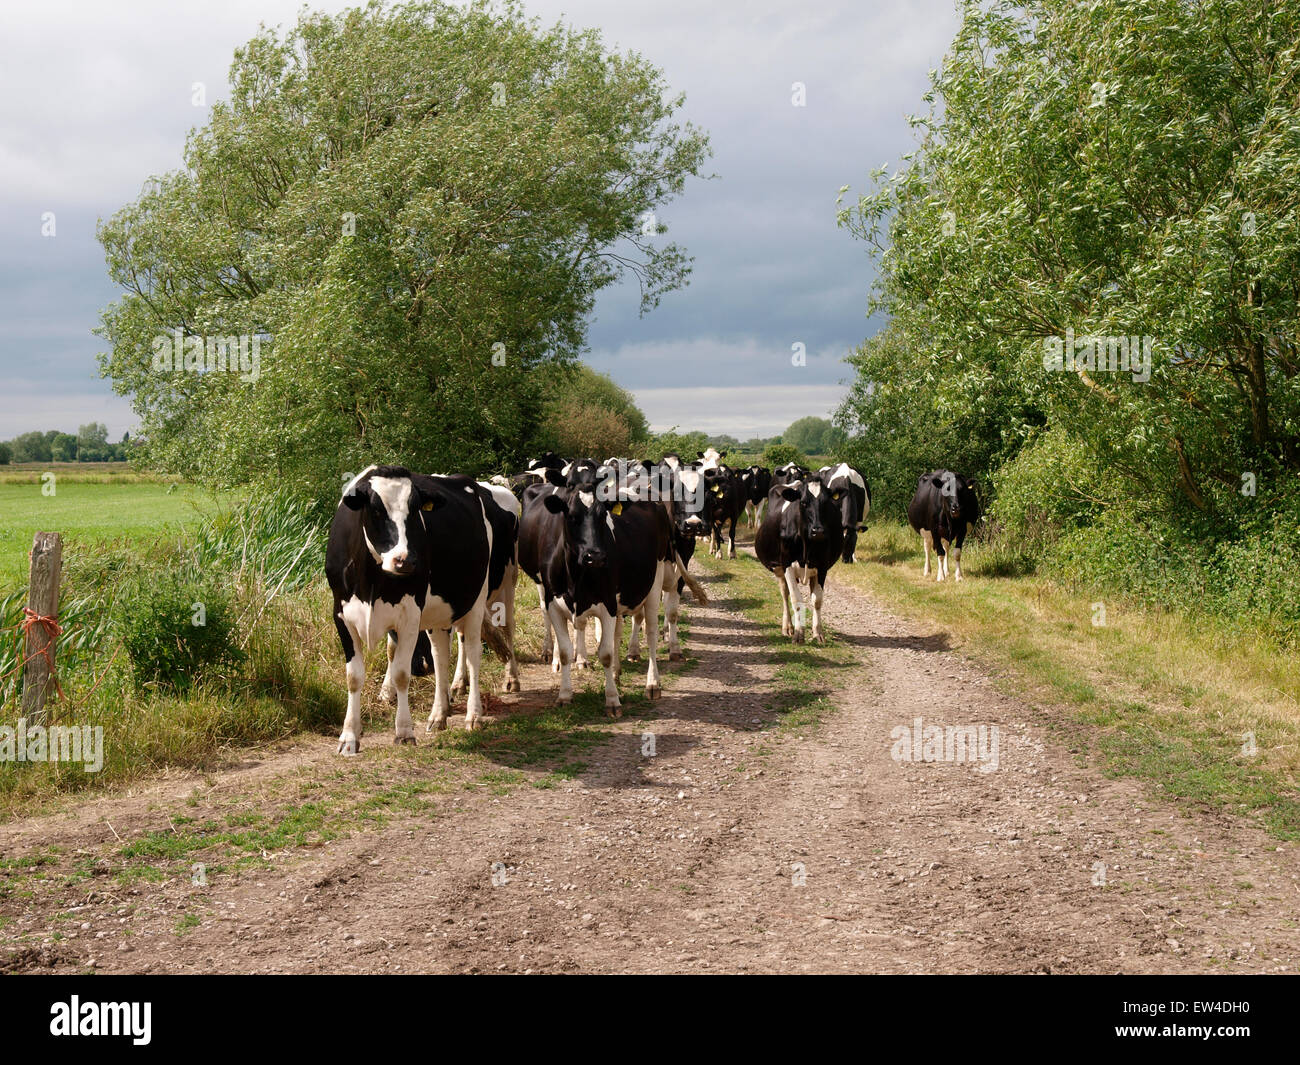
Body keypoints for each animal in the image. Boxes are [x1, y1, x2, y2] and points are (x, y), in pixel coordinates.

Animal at [326, 465, 515, 753]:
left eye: (415, 510)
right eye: (376, 510)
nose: (405, 561)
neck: (371, 580)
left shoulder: (410, 615)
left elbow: (402, 673)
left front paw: (404, 732)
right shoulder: (341, 616)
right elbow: (354, 677)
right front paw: (349, 736)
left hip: (479, 597)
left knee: (474, 652)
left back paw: (474, 714)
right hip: (441, 612)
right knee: (440, 655)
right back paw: (439, 713)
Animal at [520, 476, 669, 714]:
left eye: (602, 516)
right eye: (572, 516)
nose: (595, 556)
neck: (575, 579)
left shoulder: (607, 605)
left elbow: (605, 654)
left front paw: (612, 700)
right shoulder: (554, 605)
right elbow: (565, 652)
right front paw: (564, 695)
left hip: (655, 581)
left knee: (652, 633)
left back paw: (652, 684)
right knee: (618, 633)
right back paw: (616, 675)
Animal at [754, 475, 844, 644]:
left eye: (826, 502)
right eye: (803, 502)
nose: (818, 531)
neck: (806, 543)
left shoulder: (822, 566)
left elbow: (817, 600)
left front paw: (818, 633)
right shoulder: (787, 564)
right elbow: (796, 599)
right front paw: (798, 634)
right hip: (779, 569)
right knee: (785, 594)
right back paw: (788, 627)